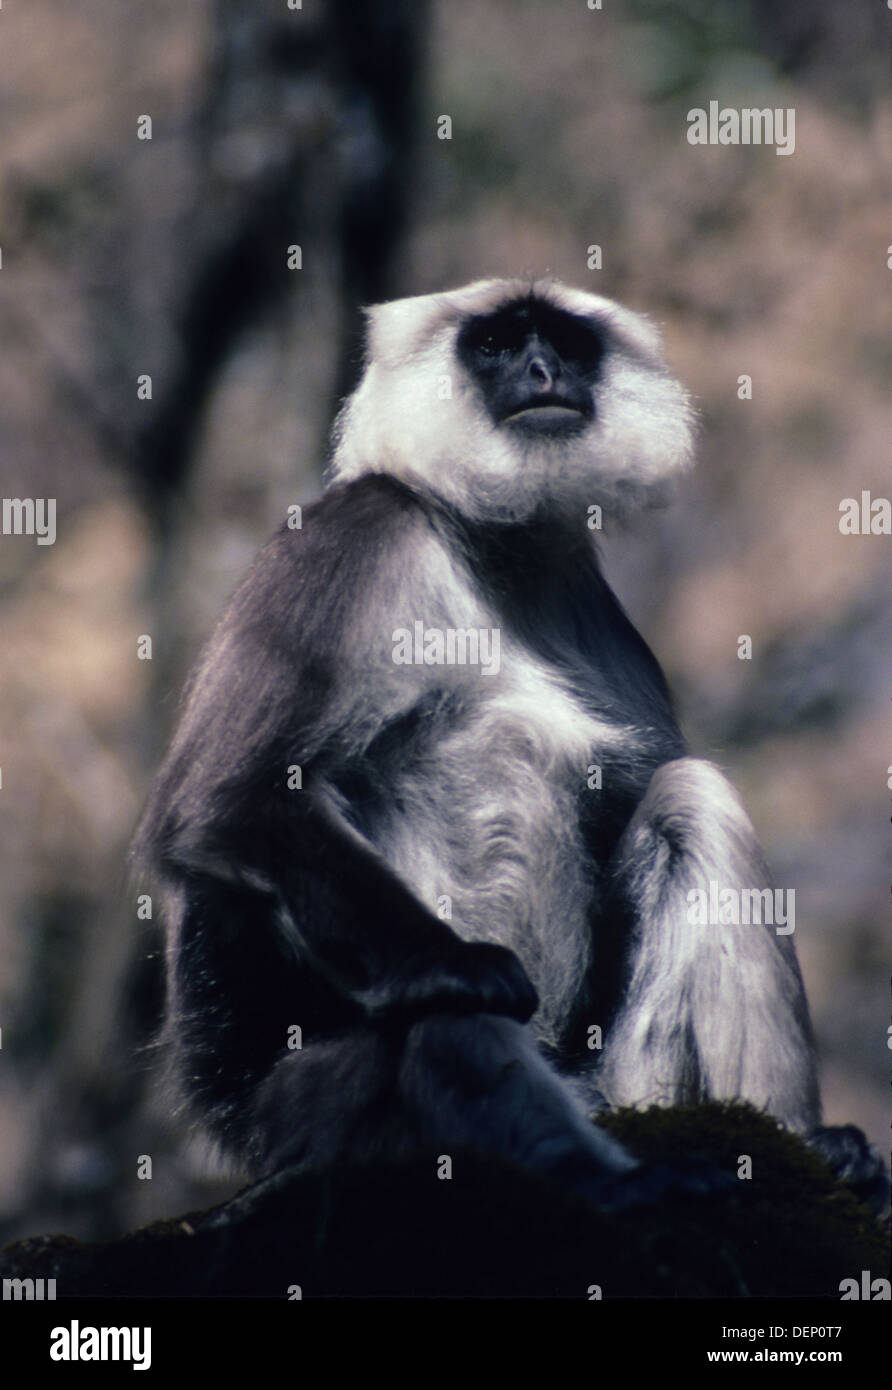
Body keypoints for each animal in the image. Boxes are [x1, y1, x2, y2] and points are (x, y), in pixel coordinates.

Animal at [133, 277, 884, 1209]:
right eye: (494, 344)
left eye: (562, 342)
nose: (541, 371)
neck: (489, 541)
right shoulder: (356, 536)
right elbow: (222, 806)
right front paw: (459, 970)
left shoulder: (585, 595)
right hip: (301, 1112)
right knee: (436, 1024)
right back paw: (614, 1183)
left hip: (615, 1077)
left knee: (692, 796)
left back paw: (798, 1146)